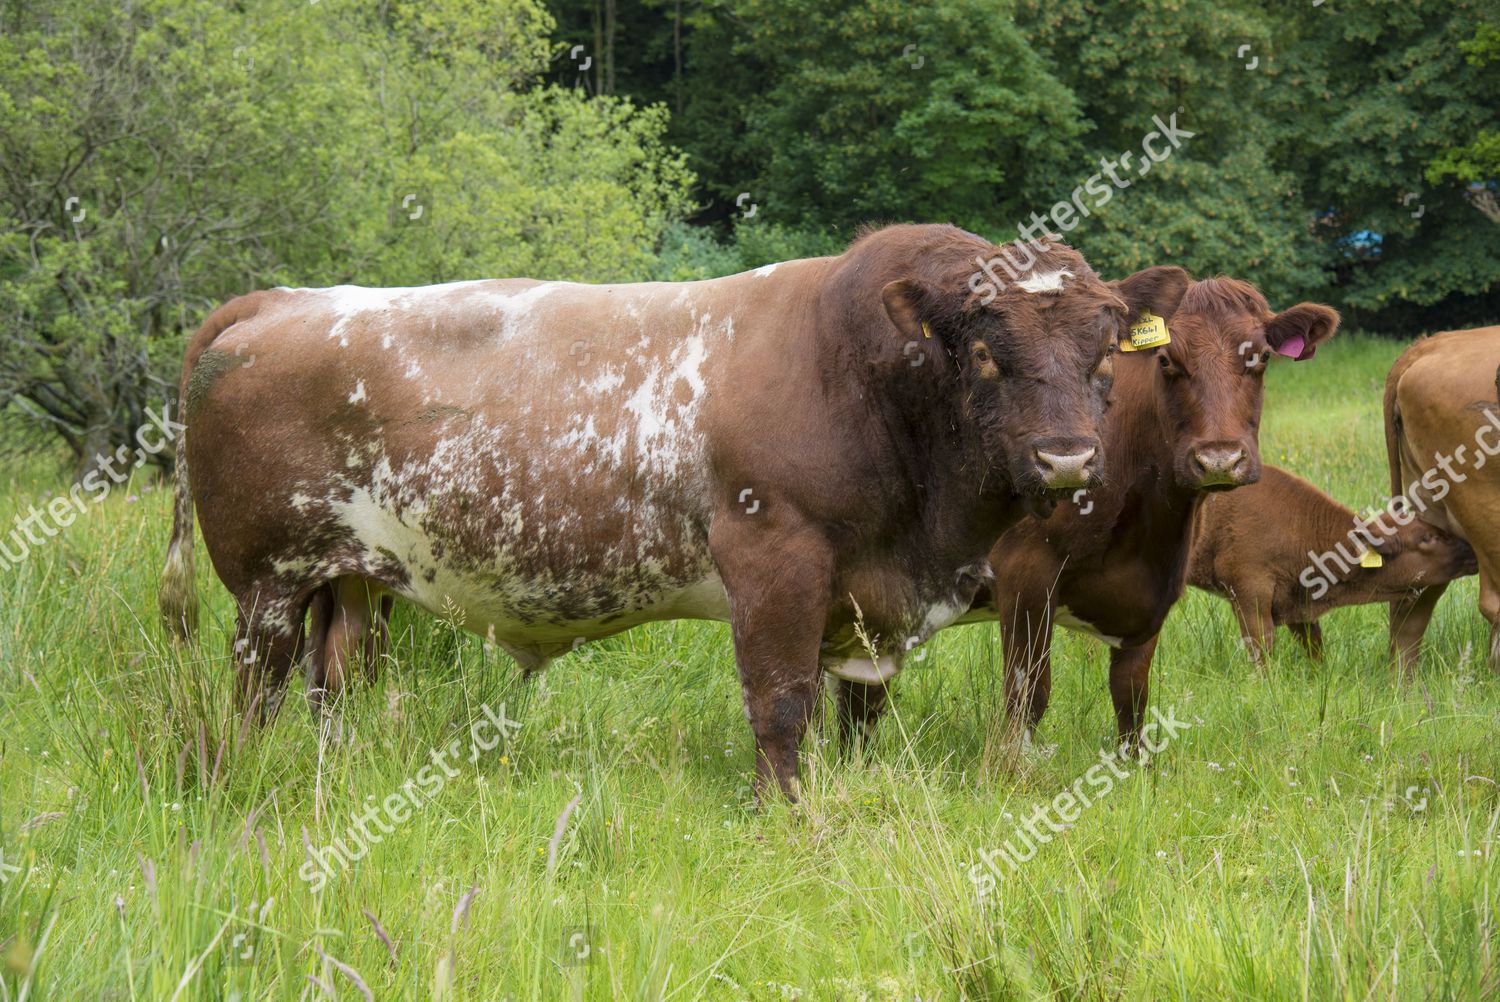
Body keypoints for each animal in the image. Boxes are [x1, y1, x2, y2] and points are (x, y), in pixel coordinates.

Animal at [158, 223, 1191, 798]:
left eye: (1107, 348)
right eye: (983, 351)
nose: (1067, 458)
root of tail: (275, 301)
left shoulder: (867, 600)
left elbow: (854, 713)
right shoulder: (774, 557)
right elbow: (780, 704)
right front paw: (785, 814)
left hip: (349, 581)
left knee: (328, 685)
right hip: (267, 582)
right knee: (257, 689)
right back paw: (245, 775)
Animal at [939, 277, 1339, 752]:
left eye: (1259, 357)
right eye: (1166, 360)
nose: (1219, 460)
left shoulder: (1154, 591)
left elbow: (1131, 695)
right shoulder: (1024, 574)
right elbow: (1028, 696)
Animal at [1187, 465, 1476, 661]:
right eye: (1426, 537)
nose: (1472, 548)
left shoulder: (1299, 607)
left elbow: (1316, 653)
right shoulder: (1250, 598)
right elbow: (1263, 655)